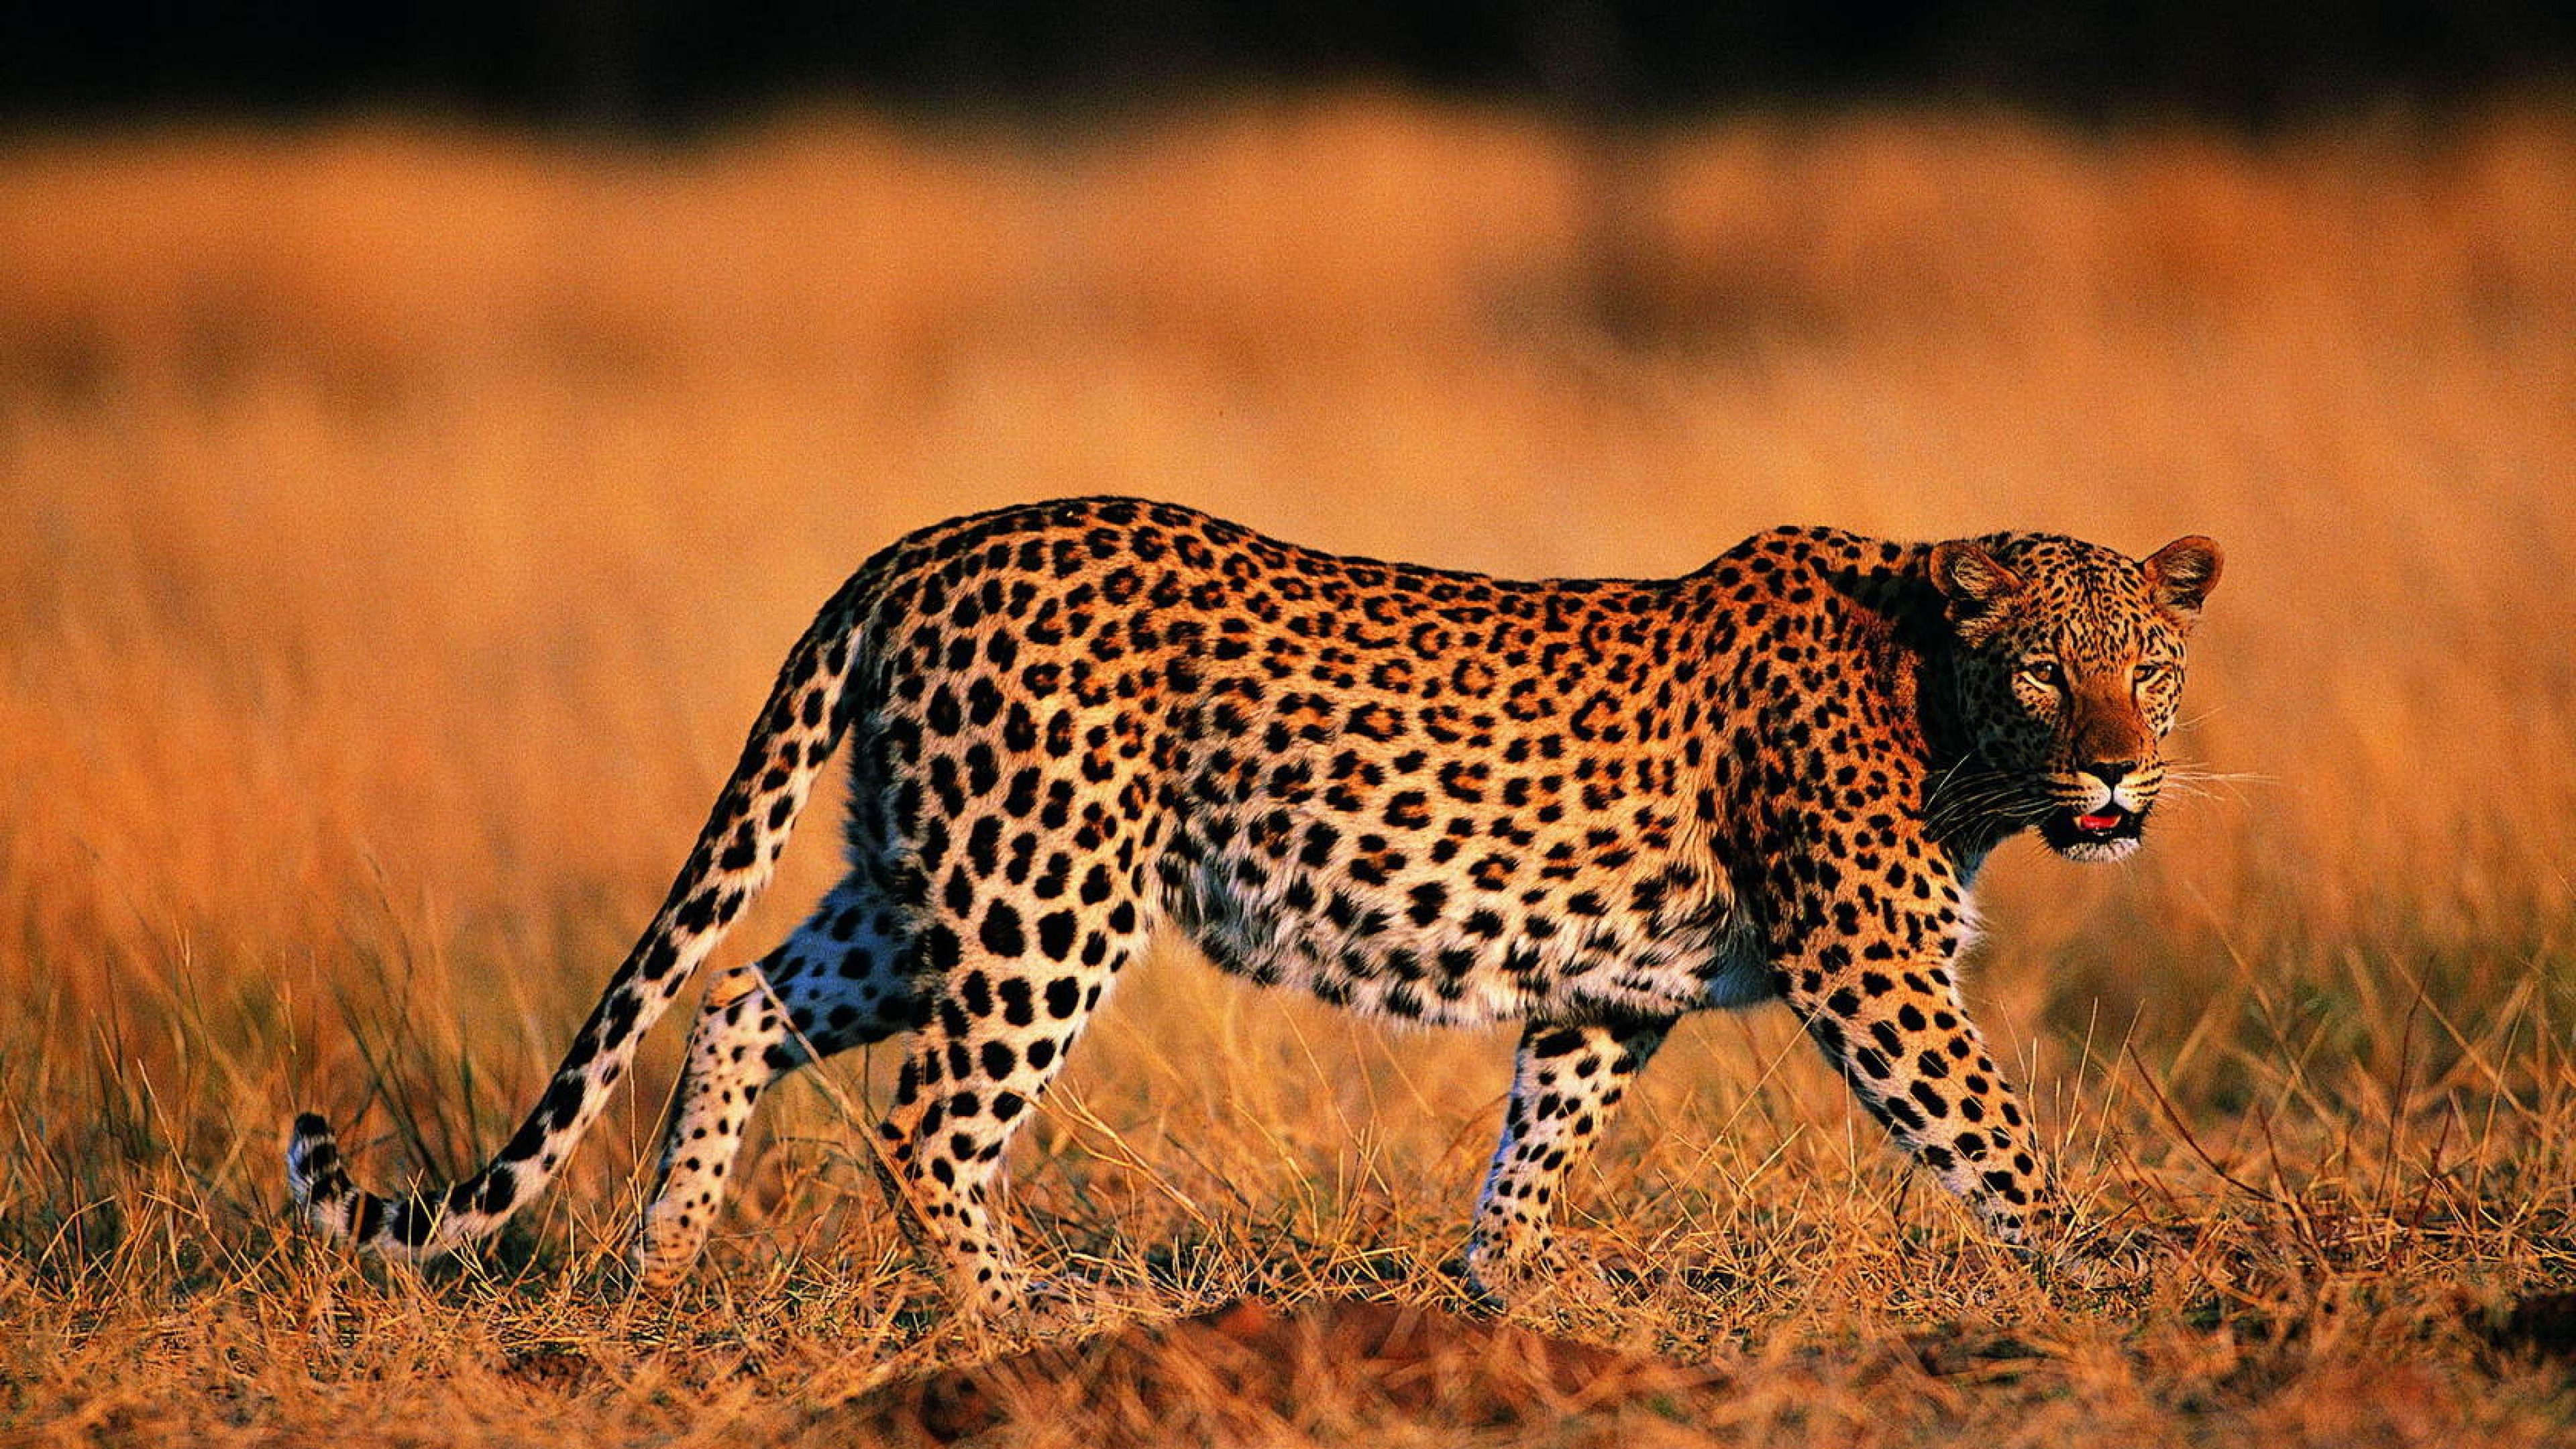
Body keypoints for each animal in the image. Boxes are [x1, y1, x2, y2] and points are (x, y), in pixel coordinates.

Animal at [287, 495, 2222, 1314]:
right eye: (2046, 674)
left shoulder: (1616, 987)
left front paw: (1498, 1295)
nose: (2120, 775)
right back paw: (1031, 1313)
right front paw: (2119, 1272)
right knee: (925, 1122)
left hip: (925, 879)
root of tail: (921, 543)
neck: (1944, 720)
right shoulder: (1866, 962)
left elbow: (1540, 1135)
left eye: (2148, 668)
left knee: (739, 999)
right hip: (1045, 891)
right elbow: (1994, 1133)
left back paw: (655, 1266)